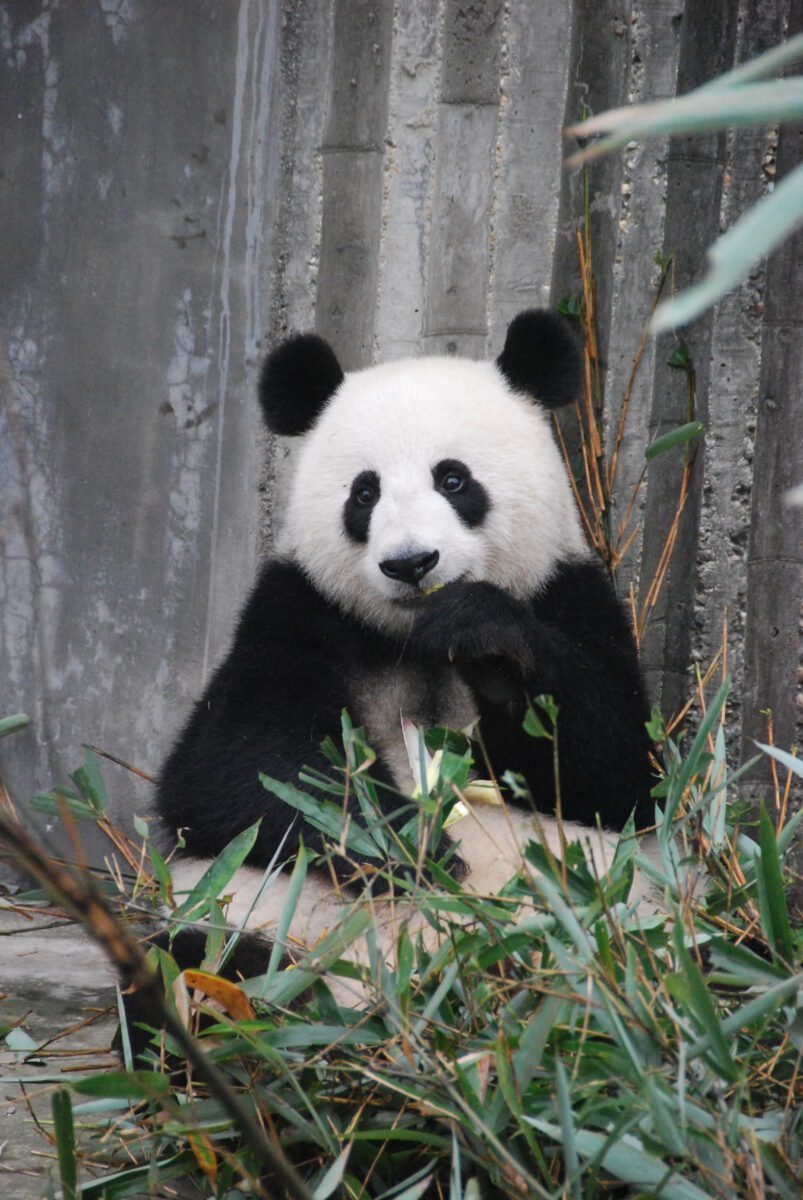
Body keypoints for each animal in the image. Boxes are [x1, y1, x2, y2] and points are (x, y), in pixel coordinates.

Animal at [143, 309, 659, 1013]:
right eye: (365, 493)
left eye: (453, 479)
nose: (411, 563)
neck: (412, 637)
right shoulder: (297, 613)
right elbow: (233, 774)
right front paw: (411, 847)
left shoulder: (568, 594)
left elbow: (619, 774)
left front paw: (485, 638)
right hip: (244, 918)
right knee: (191, 968)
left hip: (606, 928)